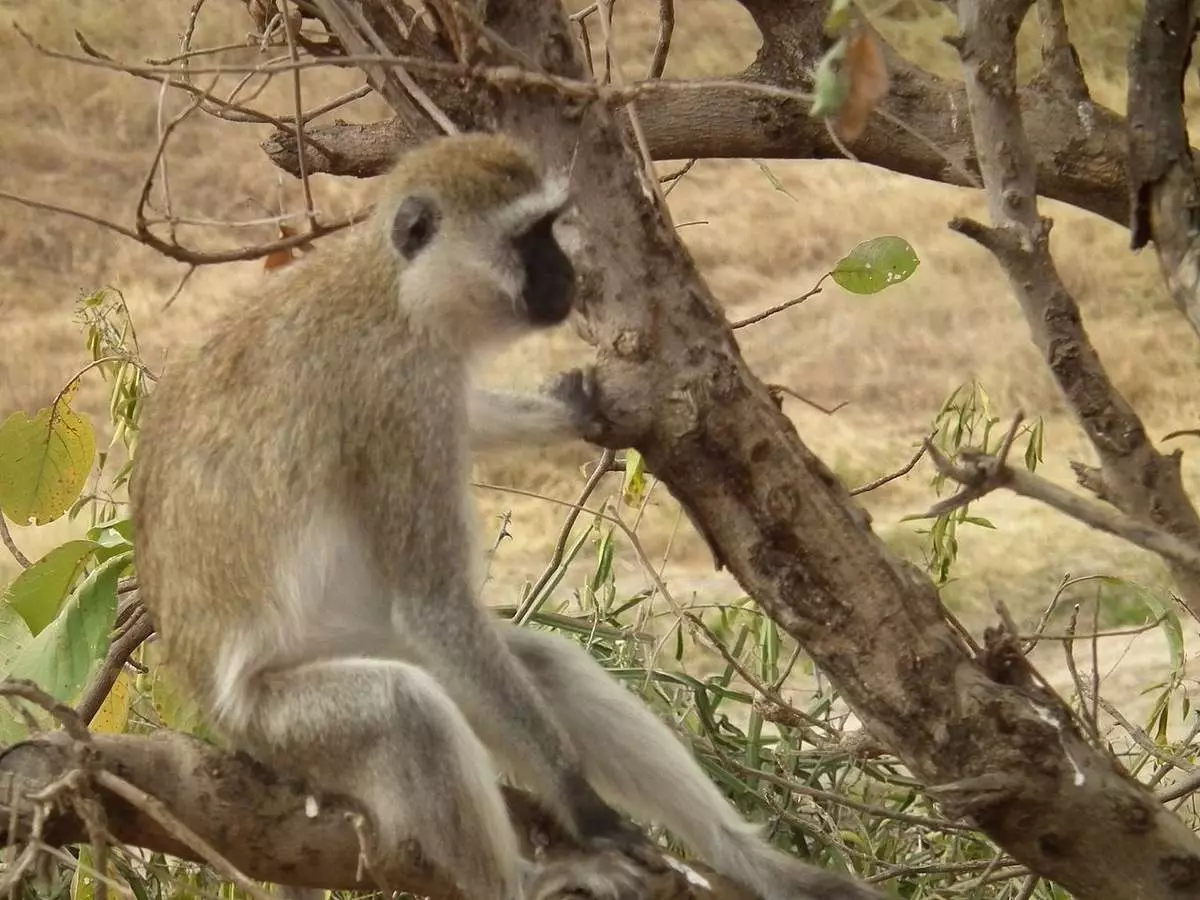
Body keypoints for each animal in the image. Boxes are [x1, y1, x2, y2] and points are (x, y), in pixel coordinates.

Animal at [129, 132, 883, 900]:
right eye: (528, 238)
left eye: (552, 227)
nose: (568, 274)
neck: (400, 295)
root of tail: (219, 722)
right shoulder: (400, 398)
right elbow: (434, 607)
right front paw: (589, 813)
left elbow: (471, 426)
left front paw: (571, 408)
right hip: (283, 726)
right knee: (407, 706)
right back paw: (526, 877)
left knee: (540, 665)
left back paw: (753, 862)